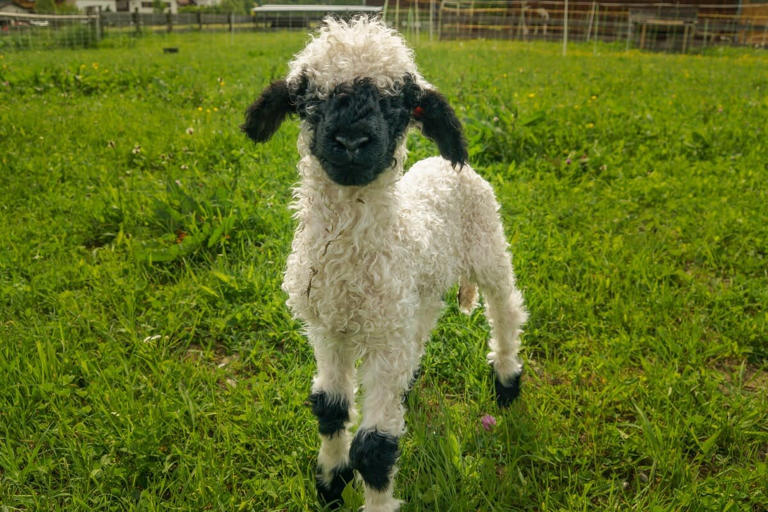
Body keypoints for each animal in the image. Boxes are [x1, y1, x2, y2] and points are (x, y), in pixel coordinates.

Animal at [242, 16, 527, 512]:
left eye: (401, 103)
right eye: (307, 98)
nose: (351, 140)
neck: (351, 267)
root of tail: (442, 166)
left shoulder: (383, 336)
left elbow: (374, 449)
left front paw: (368, 494)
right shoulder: (329, 330)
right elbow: (330, 410)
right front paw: (330, 482)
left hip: (489, 246)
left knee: (506, 308)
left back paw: (507, 379)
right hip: (418, 293)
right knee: (425, 324)